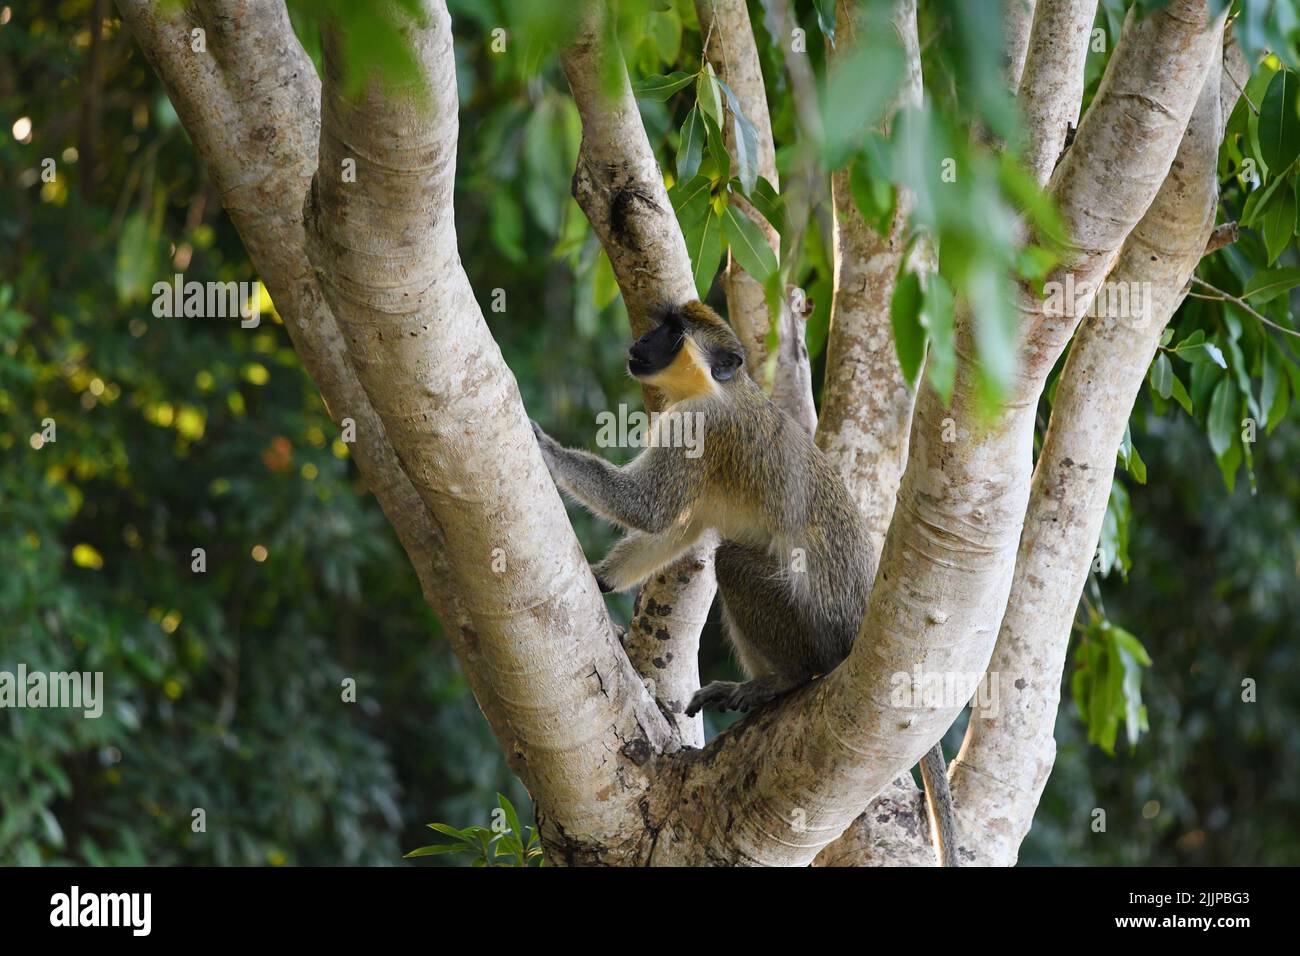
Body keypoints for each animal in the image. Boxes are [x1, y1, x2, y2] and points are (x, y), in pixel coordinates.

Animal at [530, 300, 958, 866]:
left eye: (673, 331)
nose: (639, 343)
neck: (719, 390)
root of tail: (858, 624)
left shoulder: (701, 427)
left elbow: (648, 508)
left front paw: (545, 447)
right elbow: (680, 527)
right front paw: (602, 578)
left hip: (814, 635)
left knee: (732, 560)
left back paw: (783, 679)